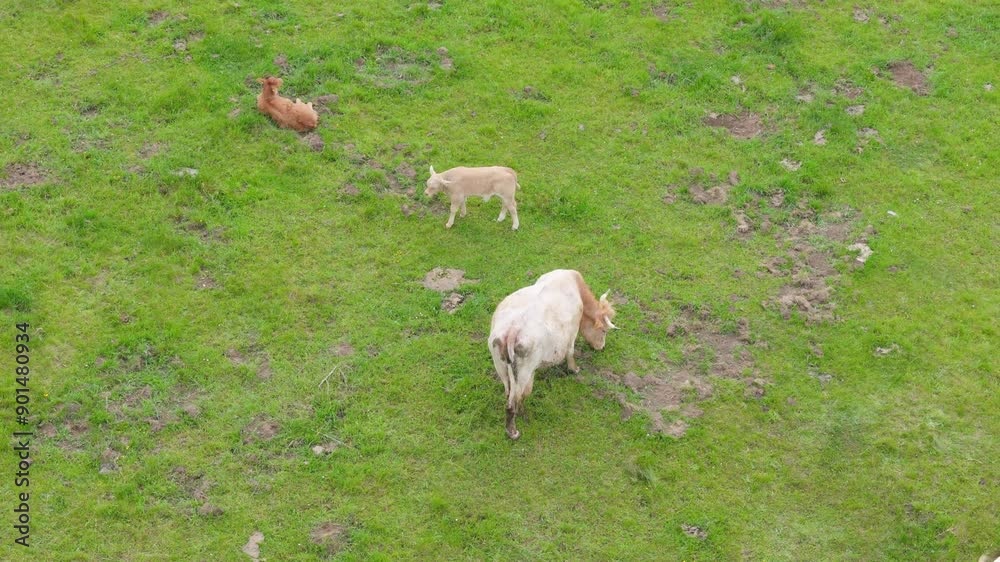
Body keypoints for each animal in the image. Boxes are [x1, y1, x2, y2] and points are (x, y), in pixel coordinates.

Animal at [488, 269, 617, 439]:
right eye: (603, 331)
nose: (601, 348)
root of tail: (512, 330)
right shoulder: (572, 331)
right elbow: (570, 351)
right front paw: (574, 369)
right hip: (524, 372)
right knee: (515, 400)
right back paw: (514, 430)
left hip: (500, 366)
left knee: (508, 392)